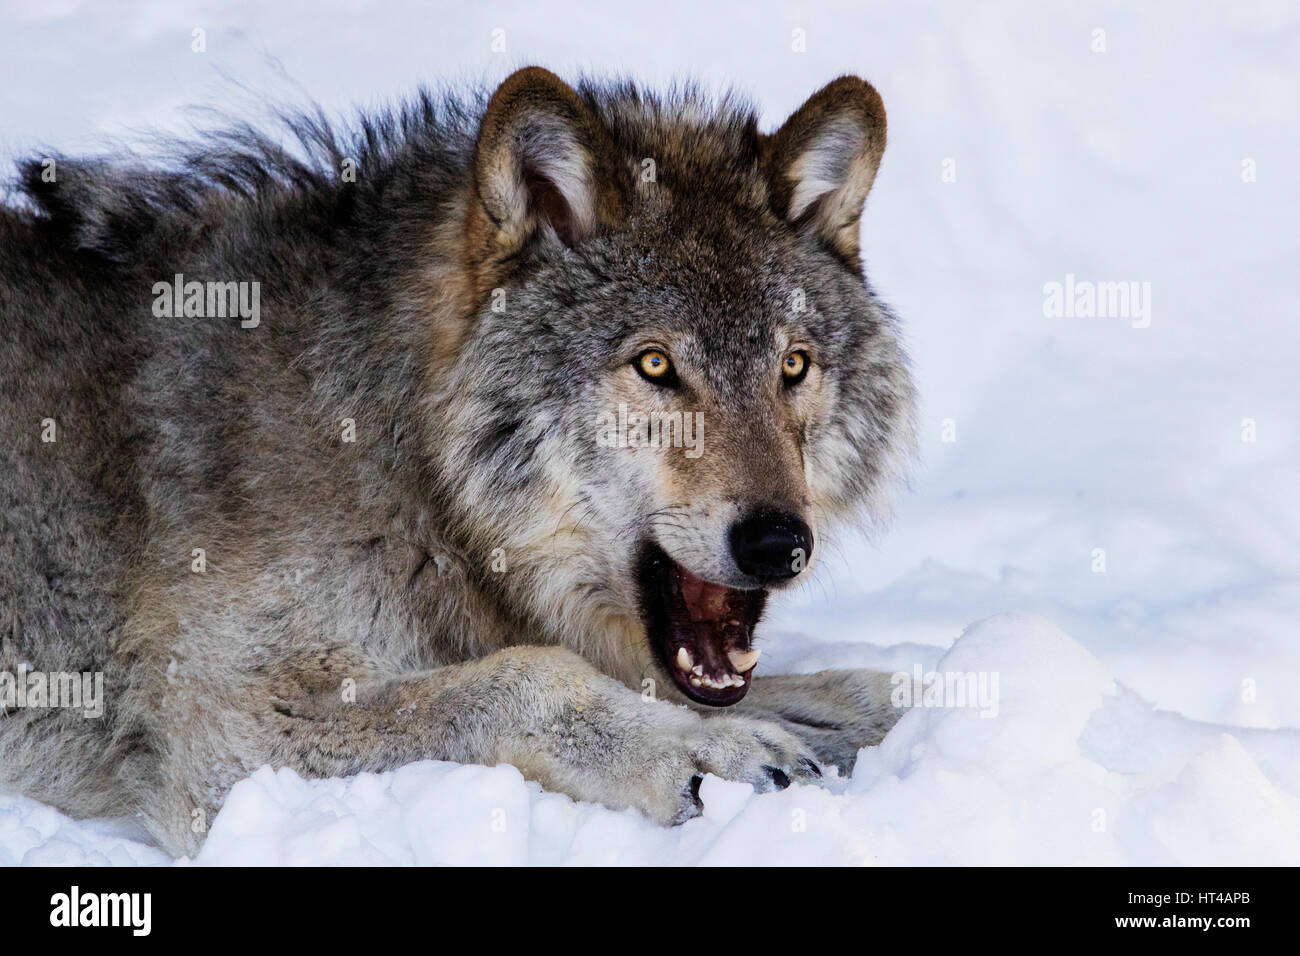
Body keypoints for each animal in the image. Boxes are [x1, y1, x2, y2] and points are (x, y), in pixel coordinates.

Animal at [0, 67, 915, 855]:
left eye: (792, 365)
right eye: (656, 365)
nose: (778, 544)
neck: (397, 456)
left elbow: (822, 690)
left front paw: (884, 705)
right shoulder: (236, 728)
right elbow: (531, 674)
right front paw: (703, 753)